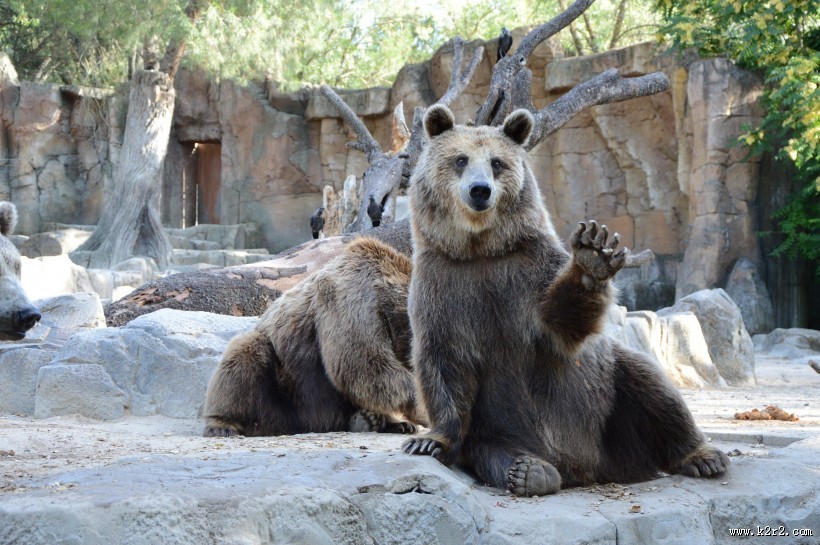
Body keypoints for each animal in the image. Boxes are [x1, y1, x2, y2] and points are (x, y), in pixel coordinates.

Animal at [203, 236, 426, 437]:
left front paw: (403, 420)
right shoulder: (353, 301)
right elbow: (362, 363)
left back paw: (381, 421)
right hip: (286, 393)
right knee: (244, 356)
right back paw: (222, 425)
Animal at [402, 105, 729, 497]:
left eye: (497, 162)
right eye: (460, 159)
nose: (480, 190)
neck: (480, 250)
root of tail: (589, 468)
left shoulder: (527, 272)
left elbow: (562, 323)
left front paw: (593, 254)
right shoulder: (444, 286)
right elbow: (442, 359)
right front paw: (428, 441)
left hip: (609, 405)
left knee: (652, 387)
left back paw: (704, 455)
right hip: (496, 429)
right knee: (493, 450)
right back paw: (530, 471)